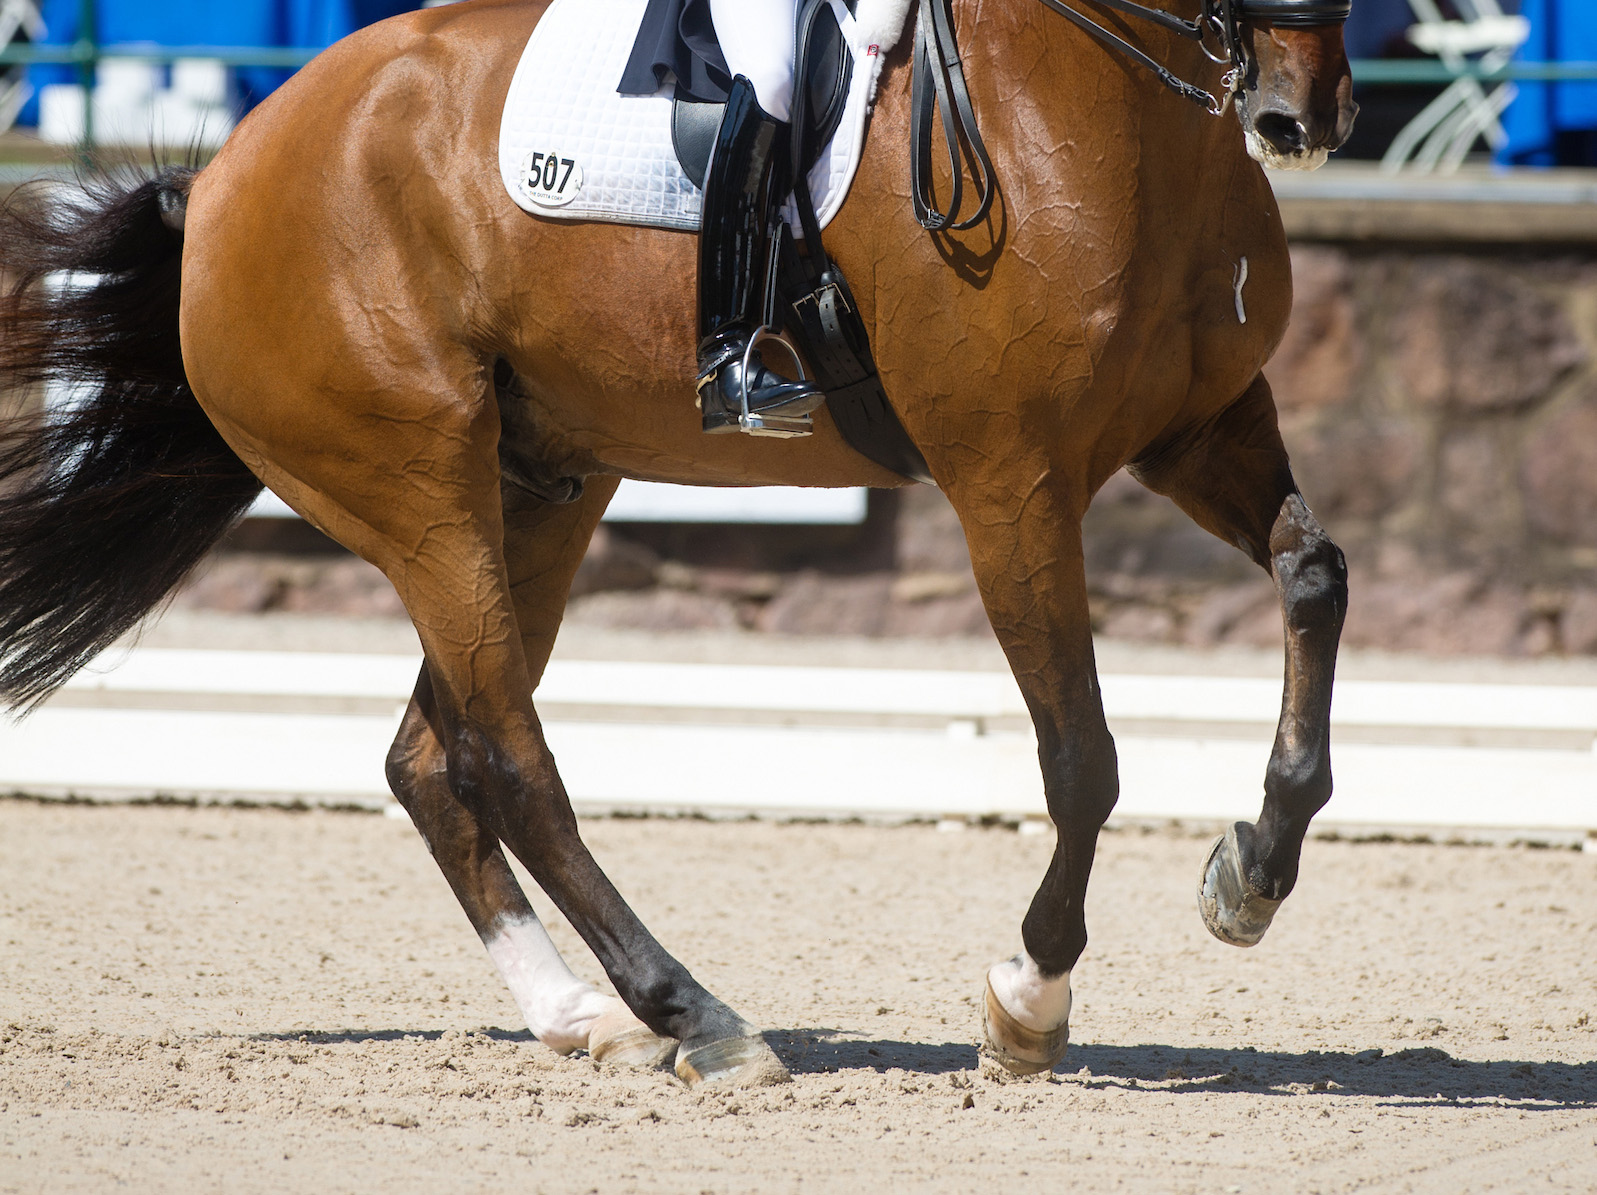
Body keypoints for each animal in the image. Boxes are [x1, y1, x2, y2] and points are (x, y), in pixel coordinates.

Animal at [0, 0, 1356, 1086]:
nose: (1301, 113)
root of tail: (225, 173)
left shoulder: (1199, 428)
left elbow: (1313, 579)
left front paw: (1252, 873)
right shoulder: (1009, 480)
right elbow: (1081, 758)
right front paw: (1028, 1000)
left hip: (542, 488)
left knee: (430, 758)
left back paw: (580, 1017)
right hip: (419, 487)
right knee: (505, 756)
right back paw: (695, 1013)